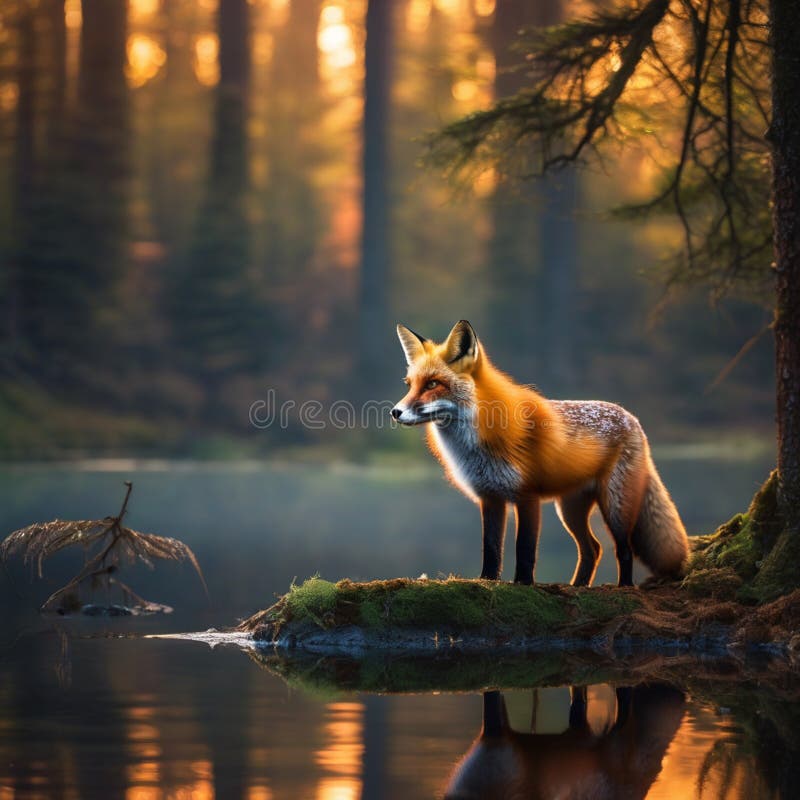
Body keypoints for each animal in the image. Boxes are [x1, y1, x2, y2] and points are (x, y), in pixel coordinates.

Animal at [391, 319, 689, 587]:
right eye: (409, 384)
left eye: (432, 384)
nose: (395, 412)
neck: (478, 445)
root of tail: (632, 418)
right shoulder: (490, 497)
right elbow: (491, 548)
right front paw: (487, 581)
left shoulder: (527, 496)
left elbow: (525, 549)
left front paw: (523, 583)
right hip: (569, 509)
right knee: (592, 549)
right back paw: (577, 587)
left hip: (614, 506)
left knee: (622, 550)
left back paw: (624, 587)